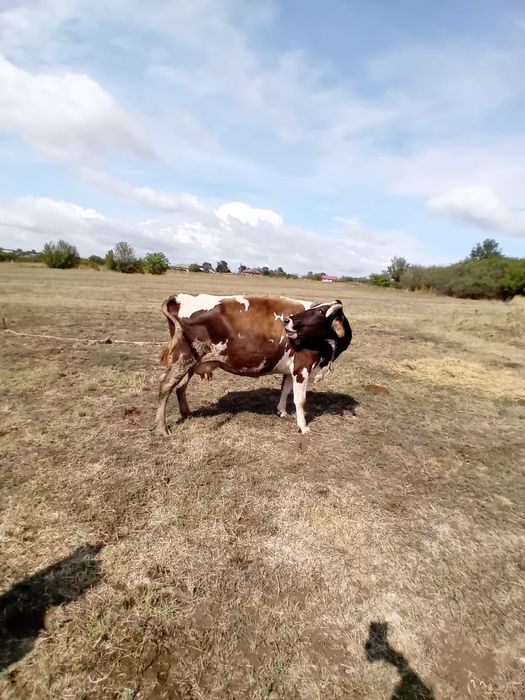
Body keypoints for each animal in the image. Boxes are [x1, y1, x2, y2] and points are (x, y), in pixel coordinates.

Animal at [155, 293, 352, 435]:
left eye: (320, 312)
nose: (288, 320)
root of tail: (181, 298)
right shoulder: (302, 368)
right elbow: (300, 400)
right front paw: (303, 427)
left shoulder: (290, 369)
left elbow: (285, 389)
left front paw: (281, 411)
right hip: (183, 358)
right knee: (165, 387)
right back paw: (162, 428)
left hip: (192, 361)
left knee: (180, 388)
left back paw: (186, 413)